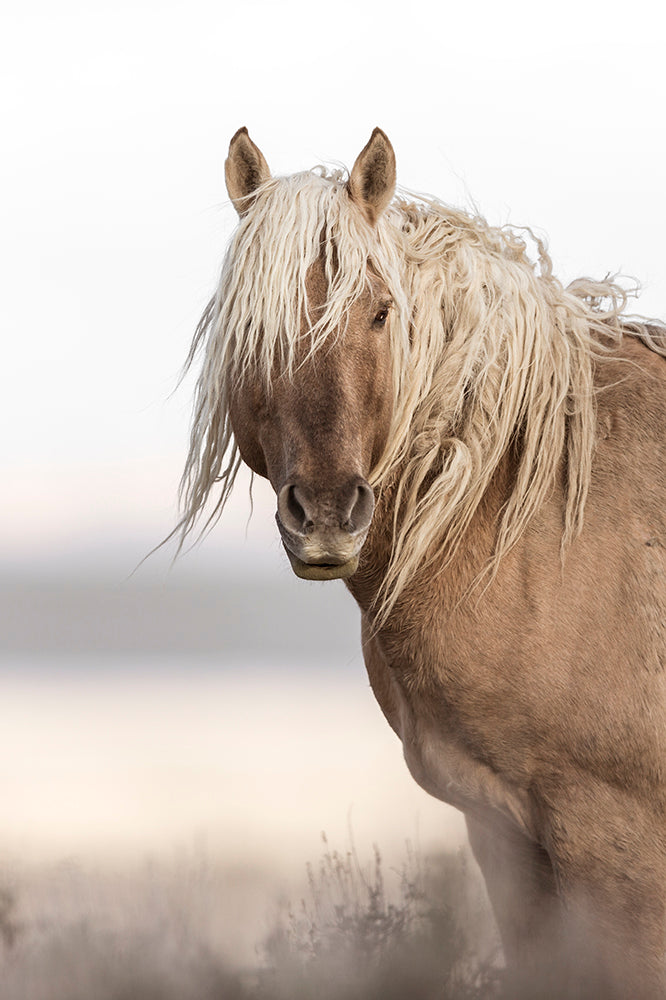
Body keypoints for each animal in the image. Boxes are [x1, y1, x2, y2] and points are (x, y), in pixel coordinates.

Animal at [177, 127, 666, 996]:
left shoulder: (620, 846)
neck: (534, 512)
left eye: (380, 313)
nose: (327, 514)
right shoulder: (504, 834)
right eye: (254, 327)